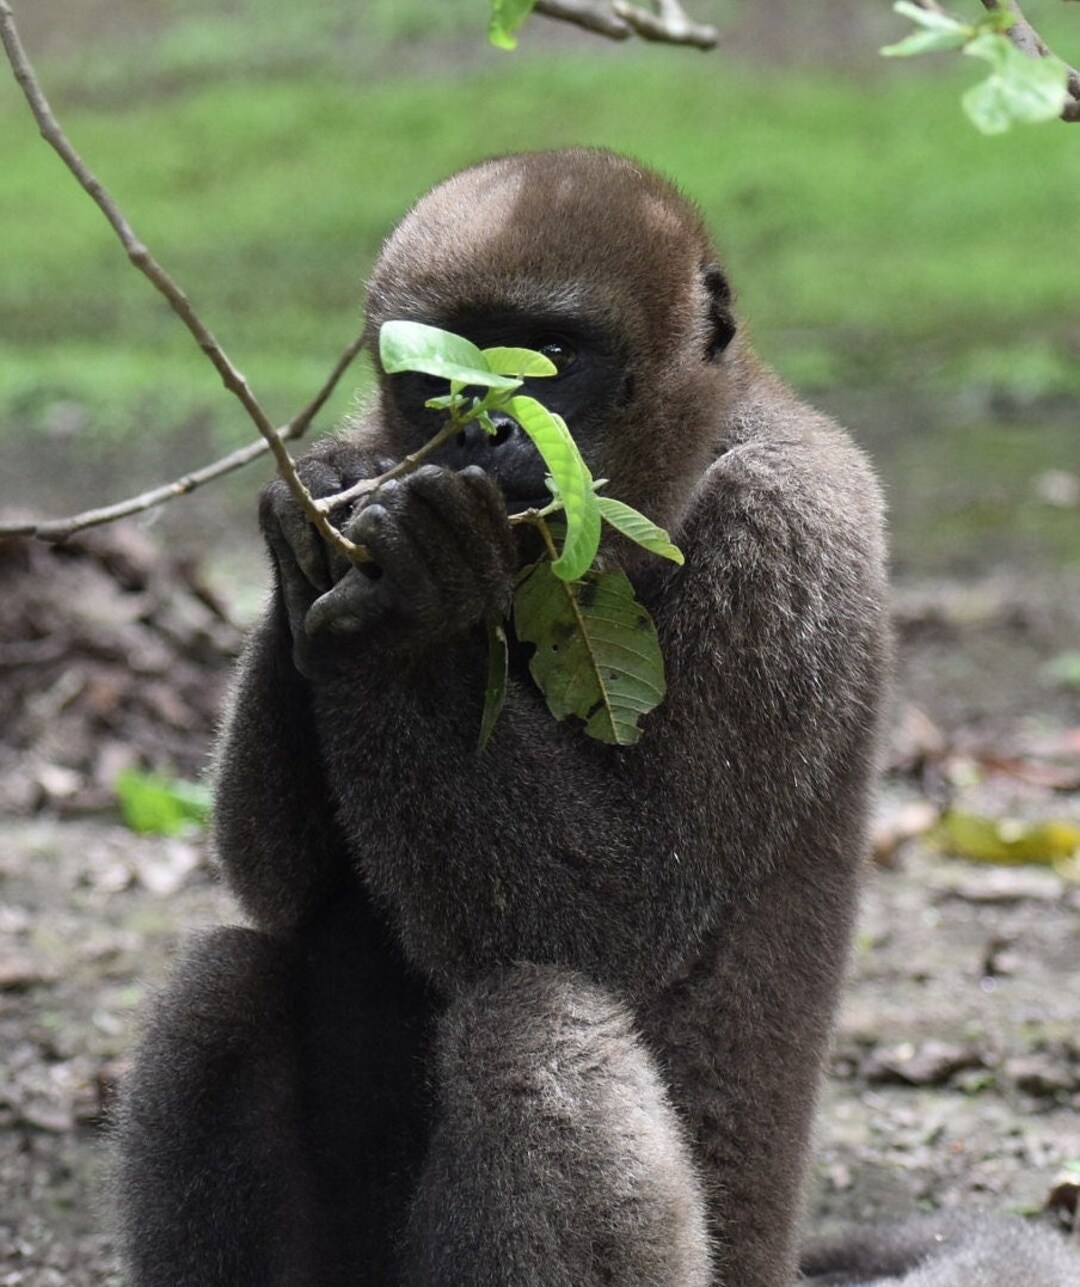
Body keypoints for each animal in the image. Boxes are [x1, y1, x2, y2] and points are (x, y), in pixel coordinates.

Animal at [114, 149, 1080, 1286]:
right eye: (431, 377)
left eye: (553, 359)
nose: (487, 427)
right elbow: (279, 880)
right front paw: (309, 544)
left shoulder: (792, 521)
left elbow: (621, 916)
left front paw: (415, 606)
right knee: (221, 985)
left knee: (538, 1022)